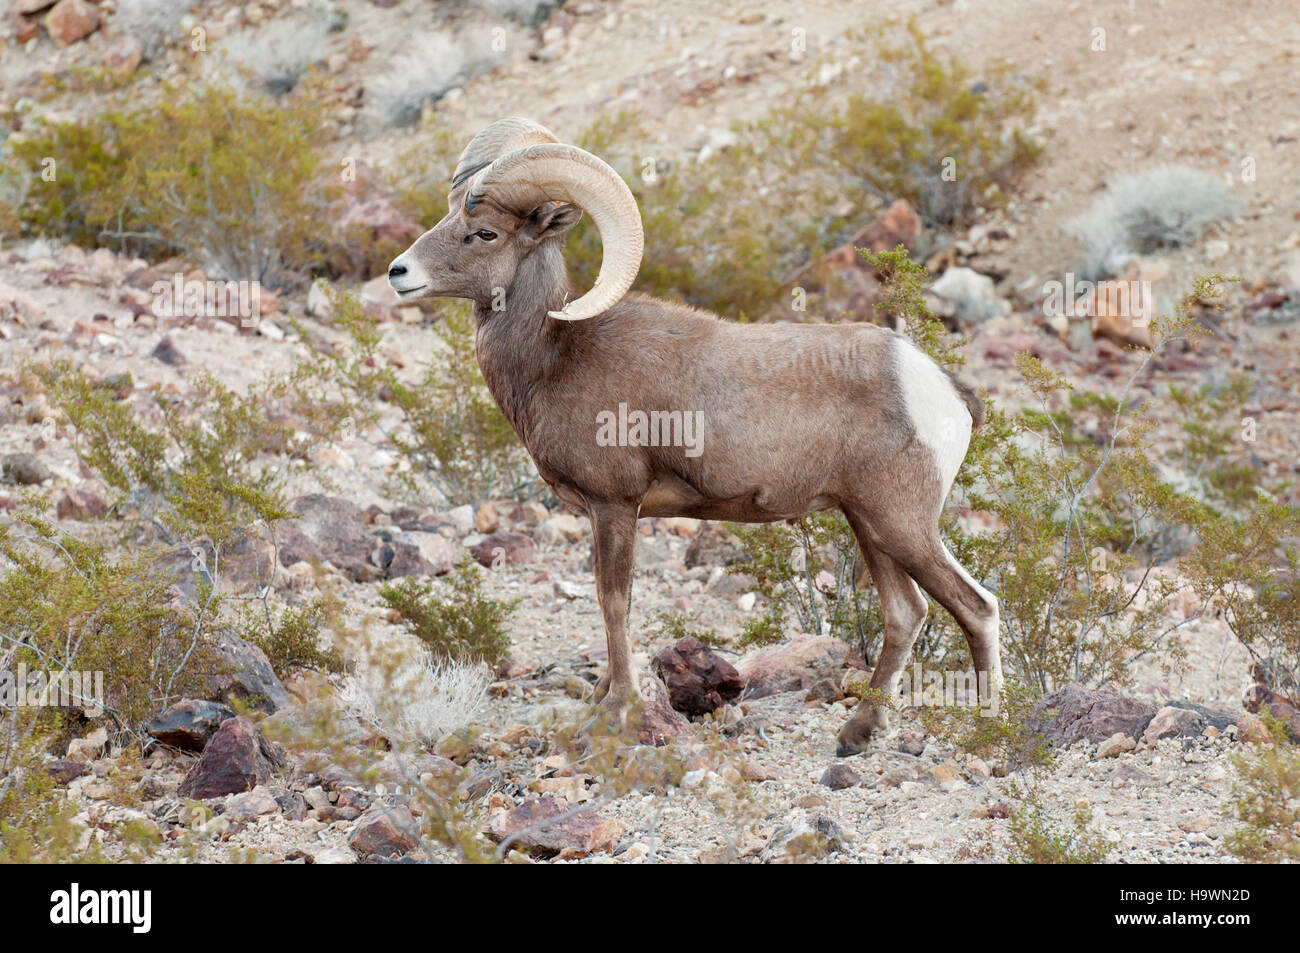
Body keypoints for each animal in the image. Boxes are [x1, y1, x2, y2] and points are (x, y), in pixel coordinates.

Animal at [388, 117, 1001, 755]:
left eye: (484, 232)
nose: (398, 272)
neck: (555, 356)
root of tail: (939, 386)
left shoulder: (614, 505)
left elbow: (614, 603)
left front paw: (617, 711)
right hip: (869, 525)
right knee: (906, 613)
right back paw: (857, 734)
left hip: (901, 524)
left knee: (977, 608)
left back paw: (986, 723)